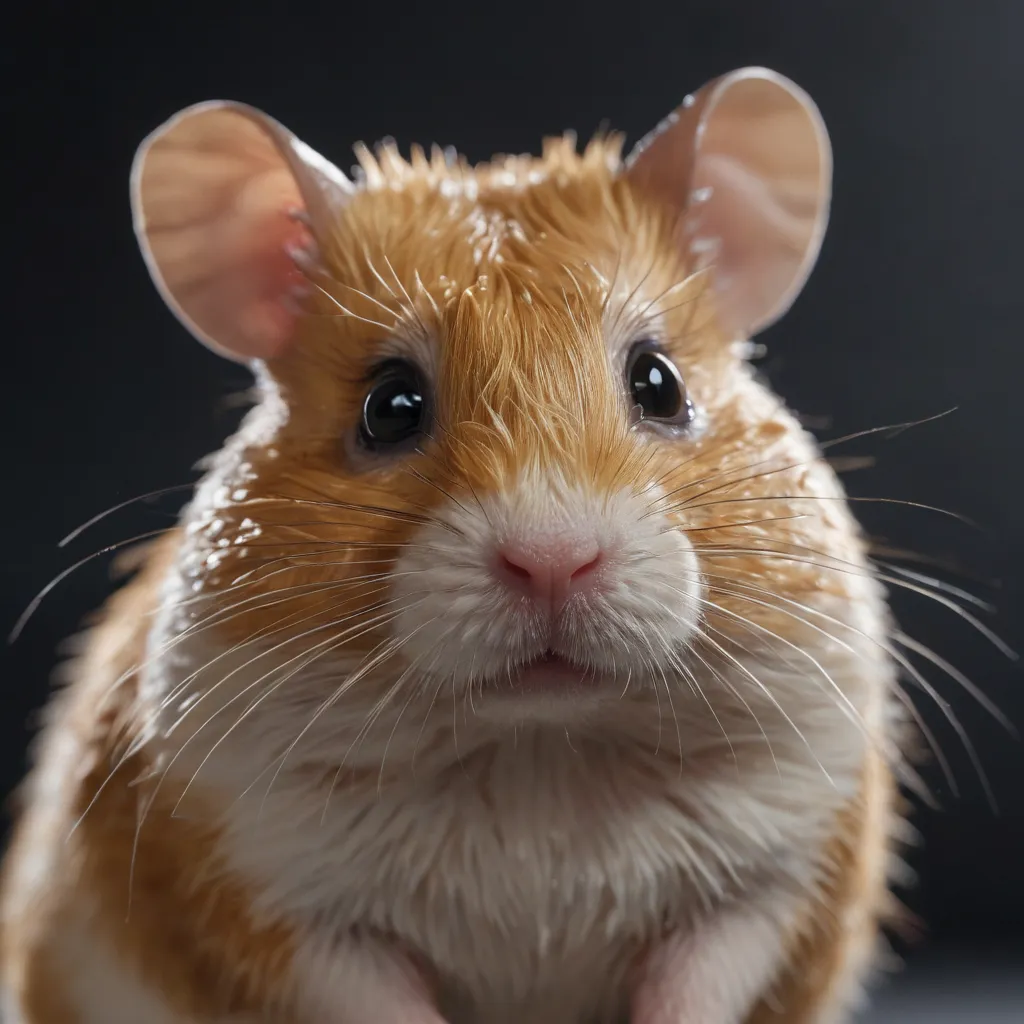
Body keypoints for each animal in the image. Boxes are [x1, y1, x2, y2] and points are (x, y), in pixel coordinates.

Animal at [1, 67, 905, 1024]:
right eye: (390, 407)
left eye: (659, 385)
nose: (553, 560)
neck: (538, 748)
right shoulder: (271, 898)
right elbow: (377, 997)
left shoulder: (778, 870)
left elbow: (697, 983)